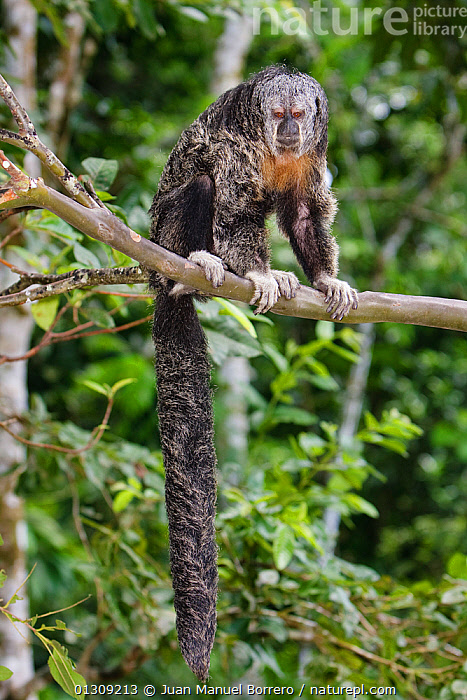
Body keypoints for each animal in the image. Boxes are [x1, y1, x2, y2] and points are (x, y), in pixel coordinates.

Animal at [149, 65, 357, 681]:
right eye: (277, 116)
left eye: (299, 117)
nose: (288, 130)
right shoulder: (237, 149)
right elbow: (234, 207)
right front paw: (263, 274)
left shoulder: (315, 153)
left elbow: (306, 211)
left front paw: (325, 280)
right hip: (160, 237)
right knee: (198, 186)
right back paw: (194, 266)